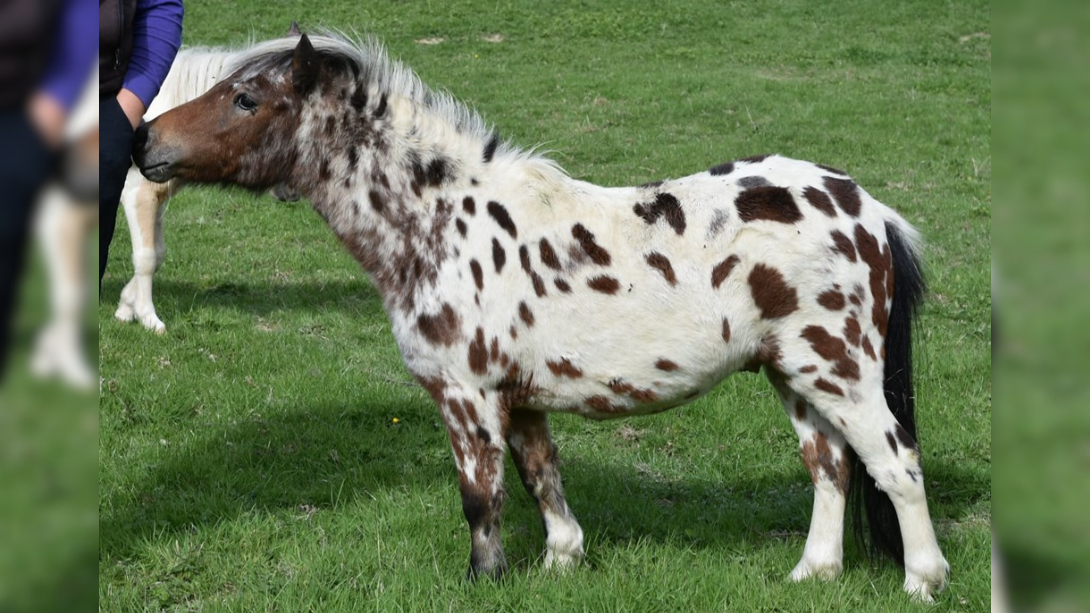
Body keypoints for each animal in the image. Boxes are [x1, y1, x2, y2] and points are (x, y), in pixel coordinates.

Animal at [133, 32, 950, 600]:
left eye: (245, 99)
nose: (144, 140)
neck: (441, 224)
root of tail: (867, 209)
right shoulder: (520, 398)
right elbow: (540, 476)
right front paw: (562, 561)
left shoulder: (465, 396)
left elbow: (481, 496)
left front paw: (484, 579)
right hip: (794, 375)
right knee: (831, 467)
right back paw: (814, 572)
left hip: (840, 372)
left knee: (895, 462)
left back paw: (923, 579)